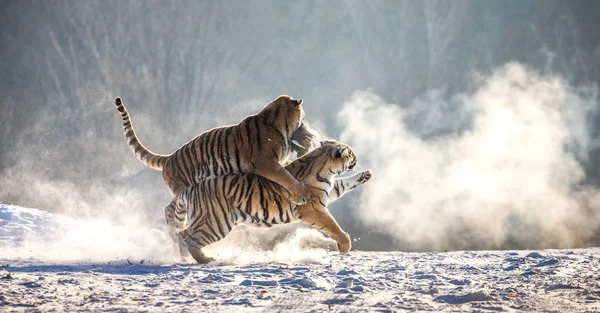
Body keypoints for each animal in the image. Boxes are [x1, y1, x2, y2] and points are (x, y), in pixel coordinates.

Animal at [169, 138, 372, 262]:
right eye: (350, 153)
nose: (356, 157)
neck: (326, 169)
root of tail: (190, 188)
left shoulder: (329, 191)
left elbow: (344, 183)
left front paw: (366, 174)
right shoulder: (313, 207)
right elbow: (332, 225)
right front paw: (345, 245)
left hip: (208, 222)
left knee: (182, 233)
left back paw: (184, 258)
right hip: (216, 223)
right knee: (188, 237)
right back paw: (204, 259)